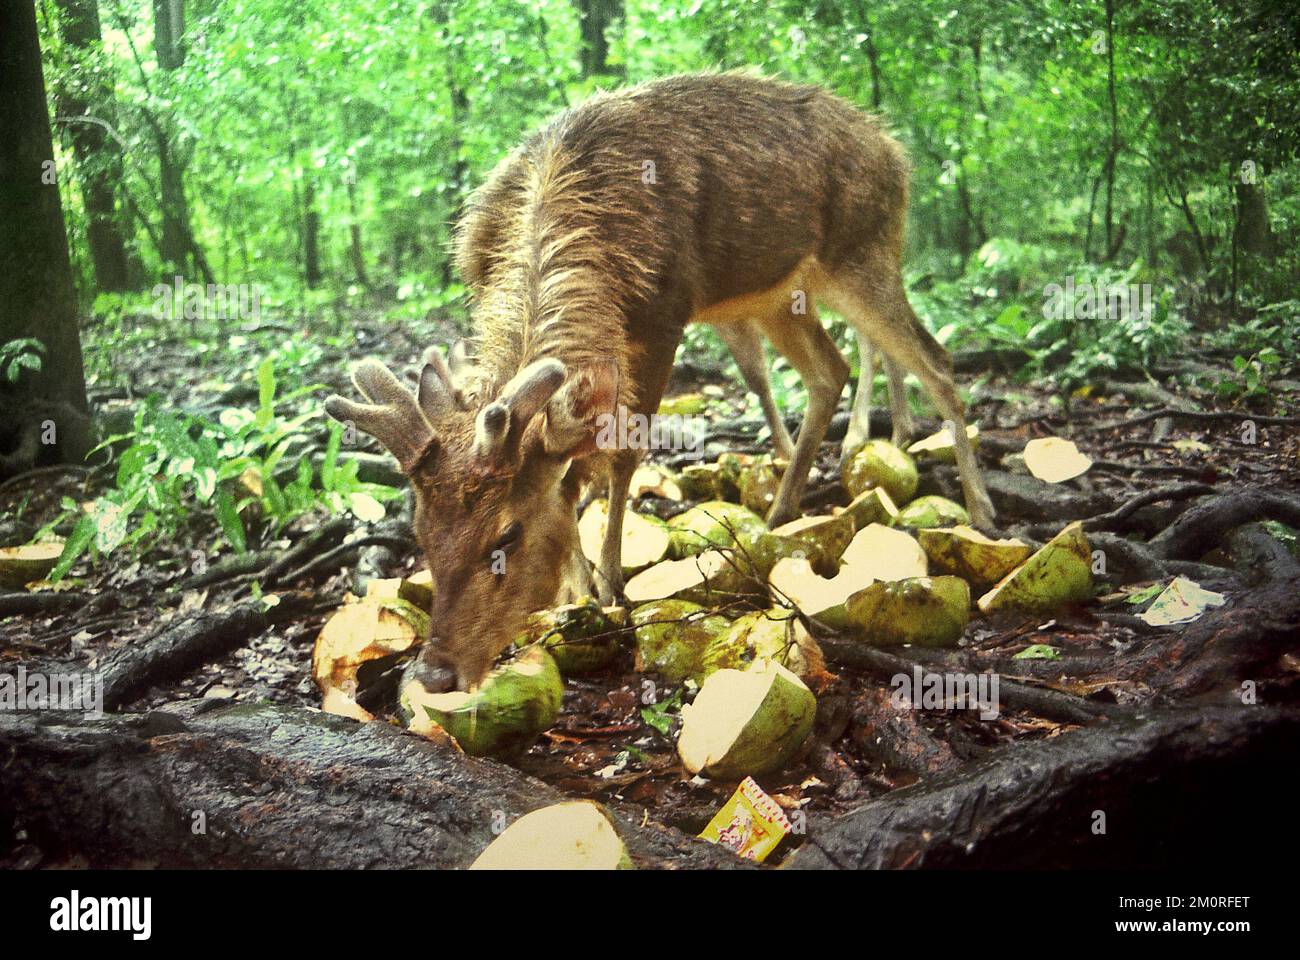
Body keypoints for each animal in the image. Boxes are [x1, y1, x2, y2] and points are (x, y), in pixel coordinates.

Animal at [326, 72, 994, 693]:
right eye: (420, 532)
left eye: (507, 534)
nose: (435, 674)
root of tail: (895, 149)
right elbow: (572, 474)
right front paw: (577, 586)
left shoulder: (665, 312)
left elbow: (623, 453)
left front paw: (612, 585)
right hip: (780, 291)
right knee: (830, 369)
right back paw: (784, 509)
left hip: (863, 249)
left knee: (935, 360)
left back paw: (980, 510)